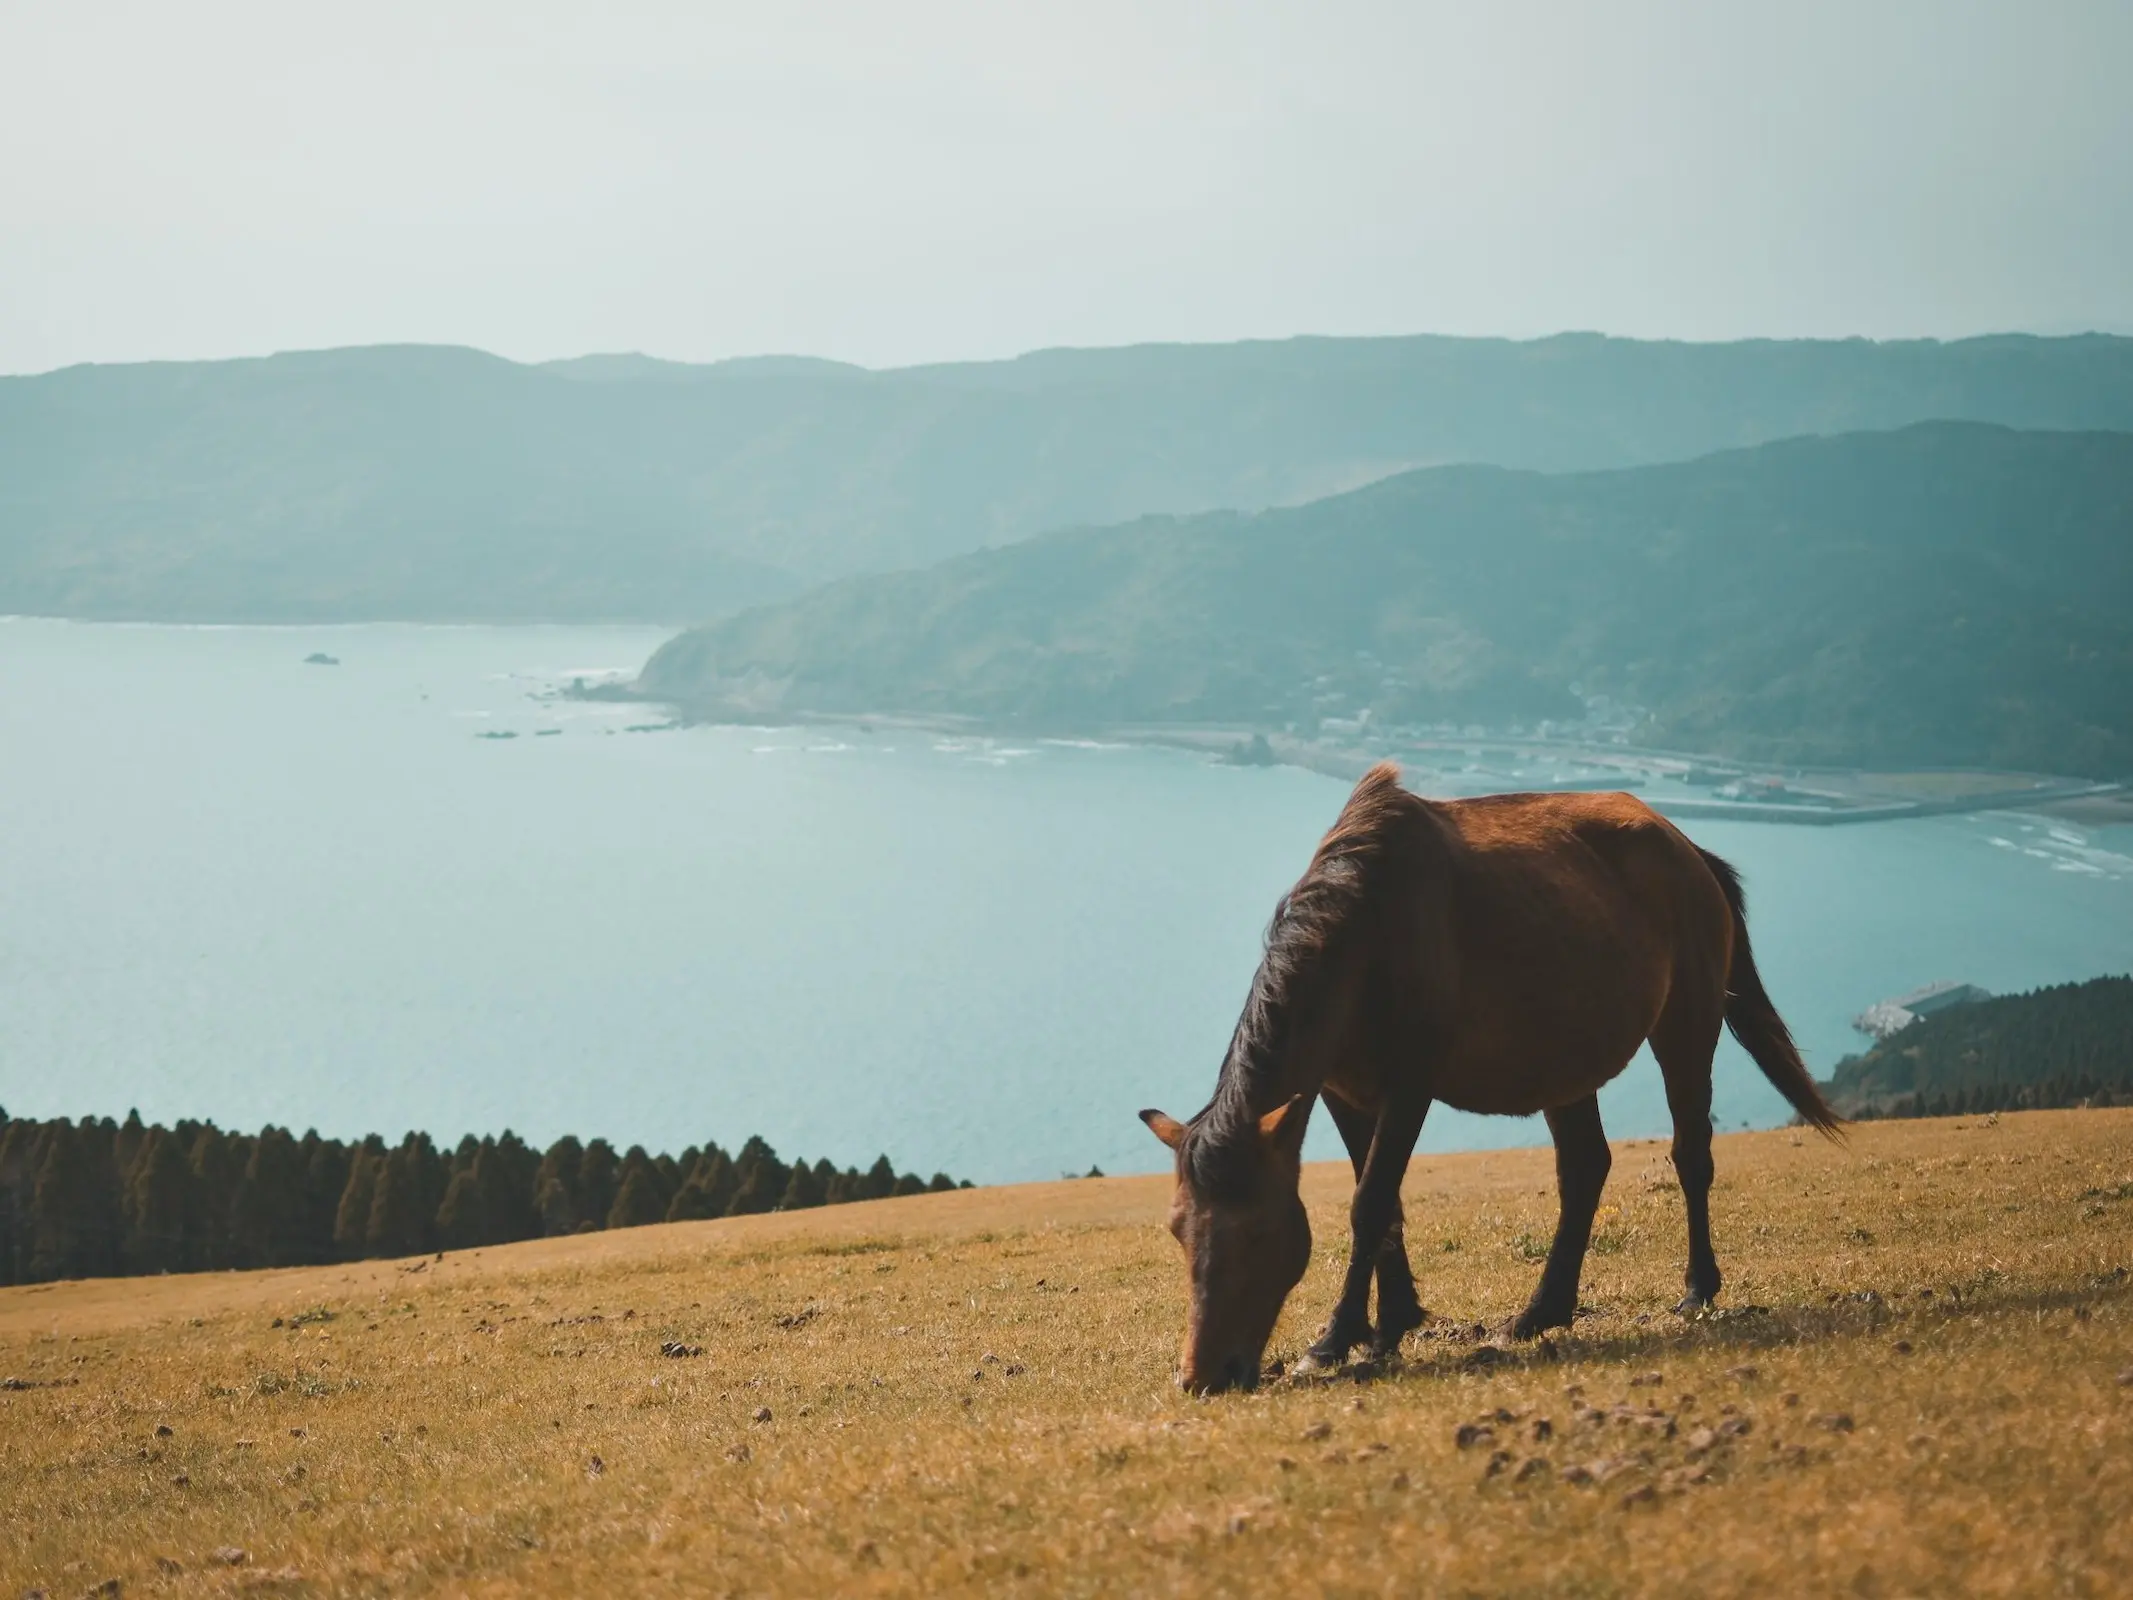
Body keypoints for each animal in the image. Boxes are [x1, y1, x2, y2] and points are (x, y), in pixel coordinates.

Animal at [1140, 761, 1842, 1395]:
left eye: (1257, 1233)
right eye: (1178, 1229)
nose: (1201, 1378)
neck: (1363, 936)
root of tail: (1690, 851)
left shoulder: (1410, 1088)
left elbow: (1370, 1204)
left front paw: (1336, 1339)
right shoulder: (1340, 1093)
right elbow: (1385, 1207)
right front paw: (1391, 1323)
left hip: (1687, 1028)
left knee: (1690, 1154)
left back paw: (1697, 1289)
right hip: (1567, 1062)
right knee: (1585, 1167)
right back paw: (1542, 1311)